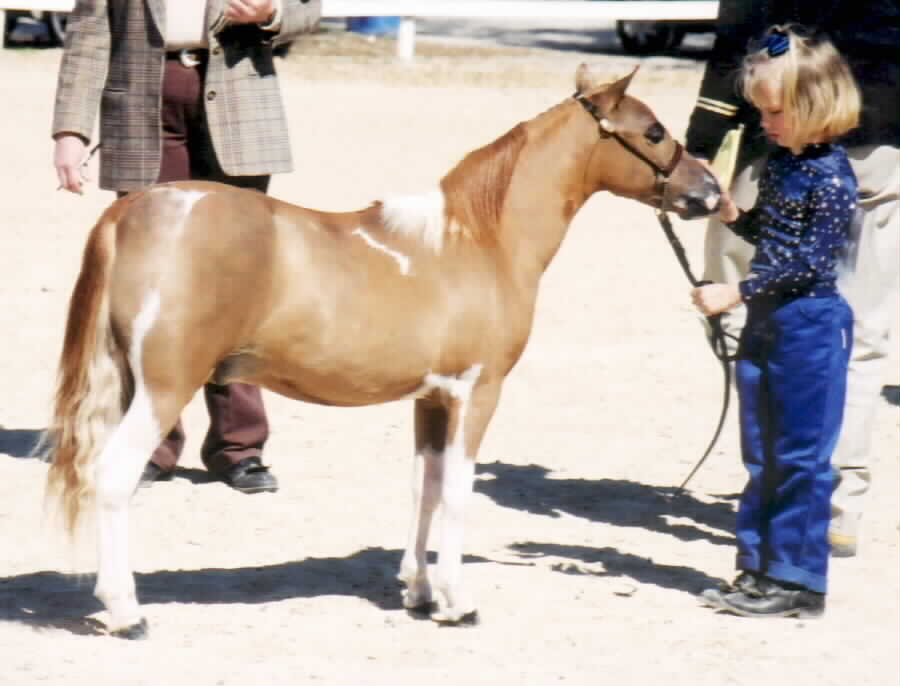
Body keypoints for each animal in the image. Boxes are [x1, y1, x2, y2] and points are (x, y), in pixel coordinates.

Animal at [44, 64, 720, 639]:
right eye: (654, 131)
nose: (711, 192)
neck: (478, 238)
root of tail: (135, 209)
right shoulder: (478, 393)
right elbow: (458, 490)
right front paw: (457, 601)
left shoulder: (432, 397)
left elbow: (424, 484)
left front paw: (418, 591)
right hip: (165, 388)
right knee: (113, 477)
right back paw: (127, 611)